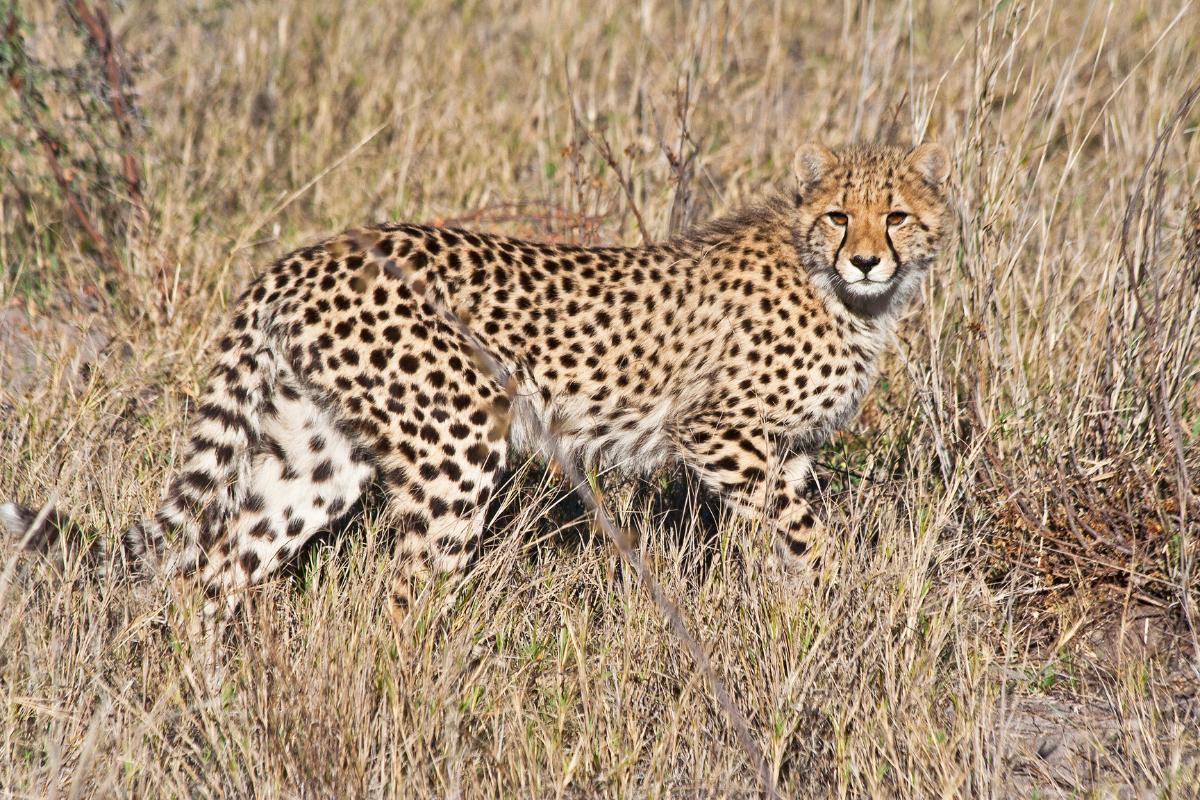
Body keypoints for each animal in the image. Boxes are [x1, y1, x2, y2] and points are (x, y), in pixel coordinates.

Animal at [1, 142, 952, 623]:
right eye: (841, 214)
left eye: (898, 215)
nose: (868, 257)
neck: (841, 291)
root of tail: (312, 251)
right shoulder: (718, 432)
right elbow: (807, 540)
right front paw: (835, 612)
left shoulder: (785, 450)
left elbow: (795, 536)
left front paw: (810, 628)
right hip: (455, 438)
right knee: (406, 588)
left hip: (321, 452)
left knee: (222, 563)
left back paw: (210, 686)